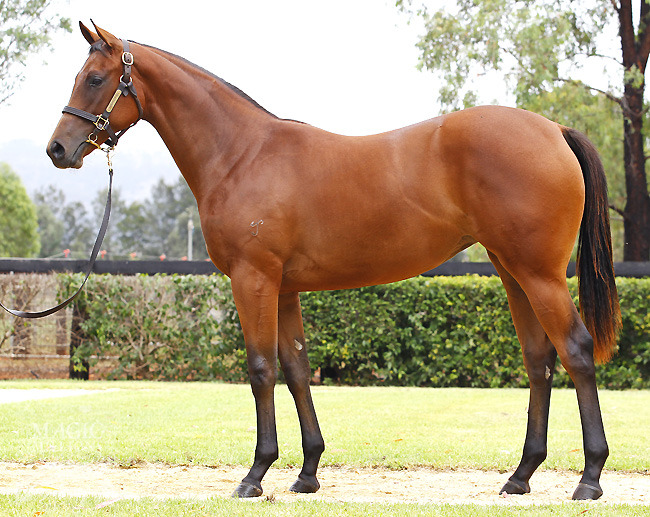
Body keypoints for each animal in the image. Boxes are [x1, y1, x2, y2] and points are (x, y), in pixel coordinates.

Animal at [47, 22, 621, 501]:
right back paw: (520, 476)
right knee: (539, 360)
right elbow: (297, 369)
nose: (58, 149)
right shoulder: (283, 288)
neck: (241, 154)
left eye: (94, 79)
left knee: (575, 350)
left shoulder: (253, 280)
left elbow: (260, 369)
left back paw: (590, 478)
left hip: (540, 275)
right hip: (512, 272)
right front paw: (306, 473)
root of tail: (553, 130)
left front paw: (255, 475)